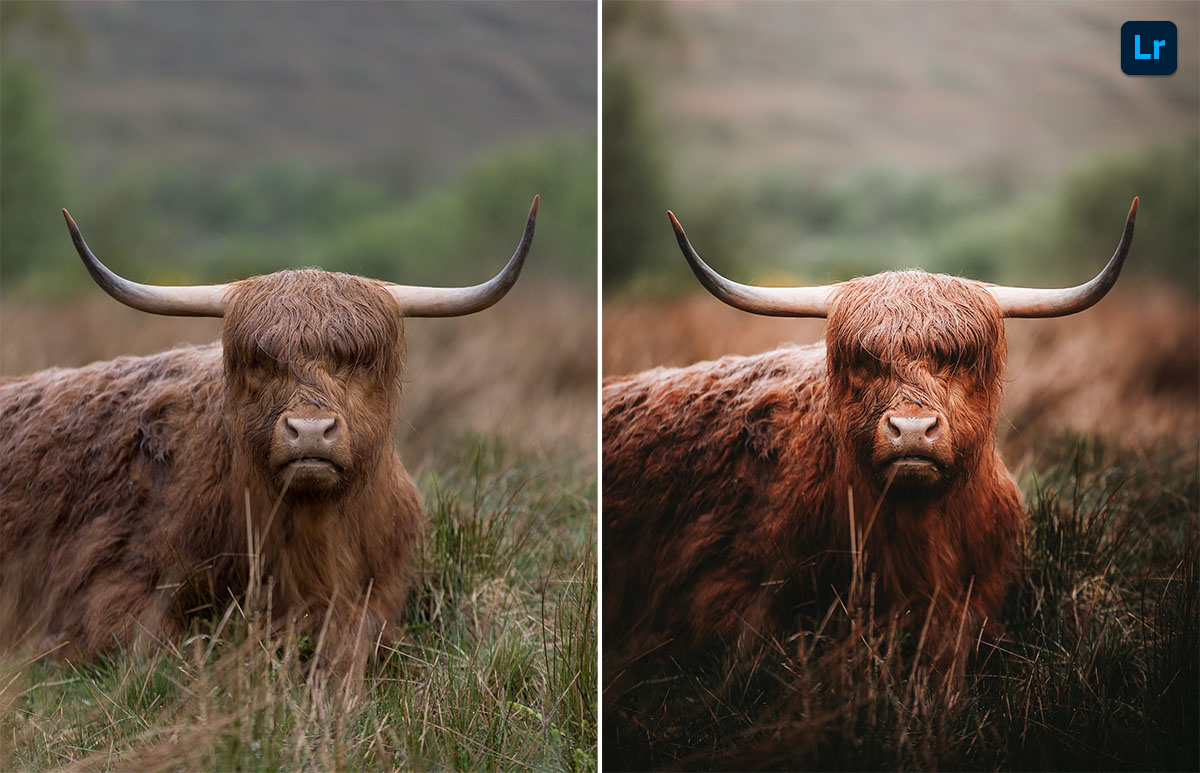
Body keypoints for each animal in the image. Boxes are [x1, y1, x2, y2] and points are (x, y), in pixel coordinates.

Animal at [0, 196, 538, 682]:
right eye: (259, 360)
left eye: (363, 360)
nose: (311, 430)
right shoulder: (110, 591)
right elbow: (161, 651)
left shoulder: (385, 595)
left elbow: (358, 644)